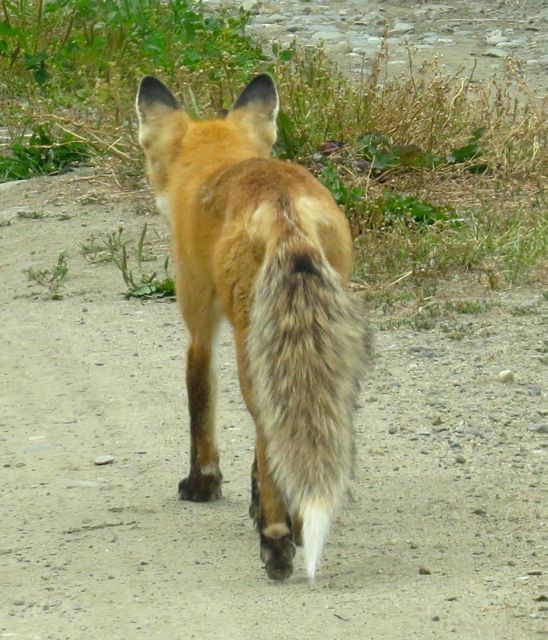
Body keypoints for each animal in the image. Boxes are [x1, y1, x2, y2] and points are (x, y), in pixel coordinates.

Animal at [135, 73, 372, 582]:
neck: (221, 164)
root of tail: (283, 207)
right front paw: (252, 499)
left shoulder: (199, 325)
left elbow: (200, 406)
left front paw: (204, 484)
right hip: (324, 340)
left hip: (255, 349)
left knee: (267, 430)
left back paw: (278, 541)